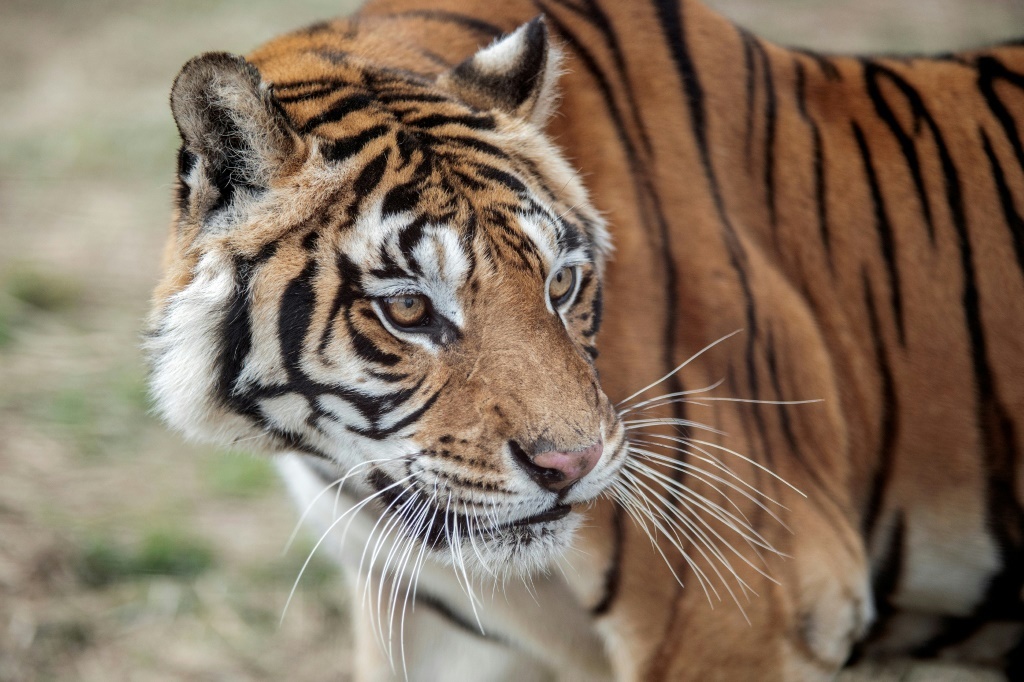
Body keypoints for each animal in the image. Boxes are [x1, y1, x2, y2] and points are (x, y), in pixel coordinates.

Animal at [144, 0, 1024, 679]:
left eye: (560, 285)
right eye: (410, 309)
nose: (571, 466)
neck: (348, 471)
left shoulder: (742, 615)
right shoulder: (431, 624)